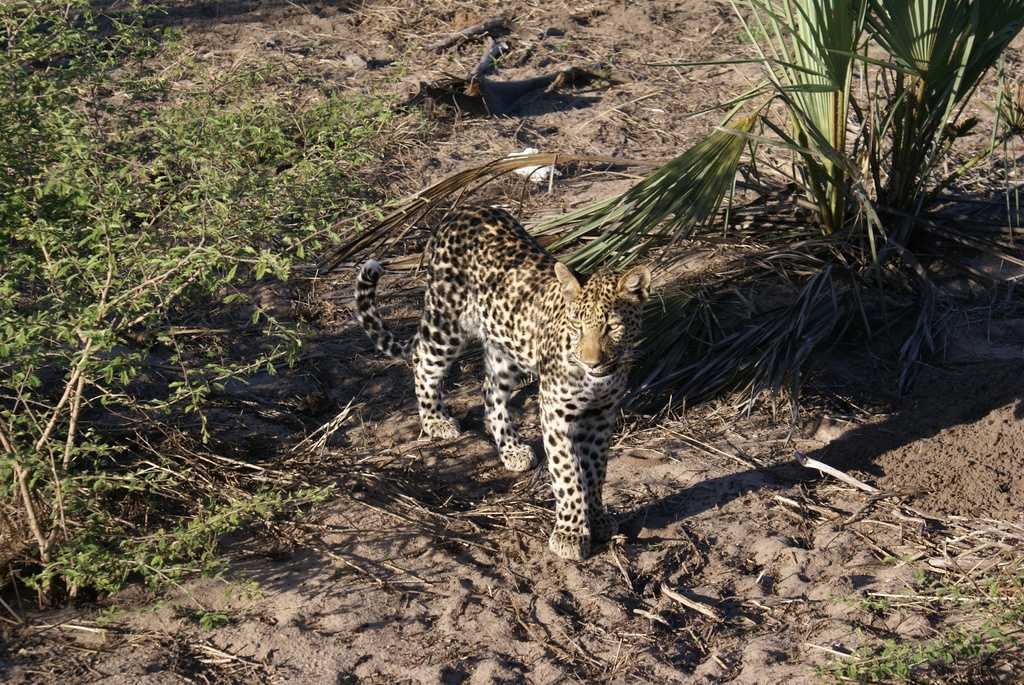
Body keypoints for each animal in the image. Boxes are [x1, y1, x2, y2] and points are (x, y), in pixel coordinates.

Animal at [354, 205, 651, 561]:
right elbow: (568, 474)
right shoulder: (555, 412)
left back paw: (511, 450)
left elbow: (595, 470)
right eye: (577, 326)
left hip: (502, 348)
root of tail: (457, 211)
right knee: (422, 361)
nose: (592, 361)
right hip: (446, 324)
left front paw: (599, 518)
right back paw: (436, 421)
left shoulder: (602, 415)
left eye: (612, 327)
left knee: (491, 395)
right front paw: (569, 533)